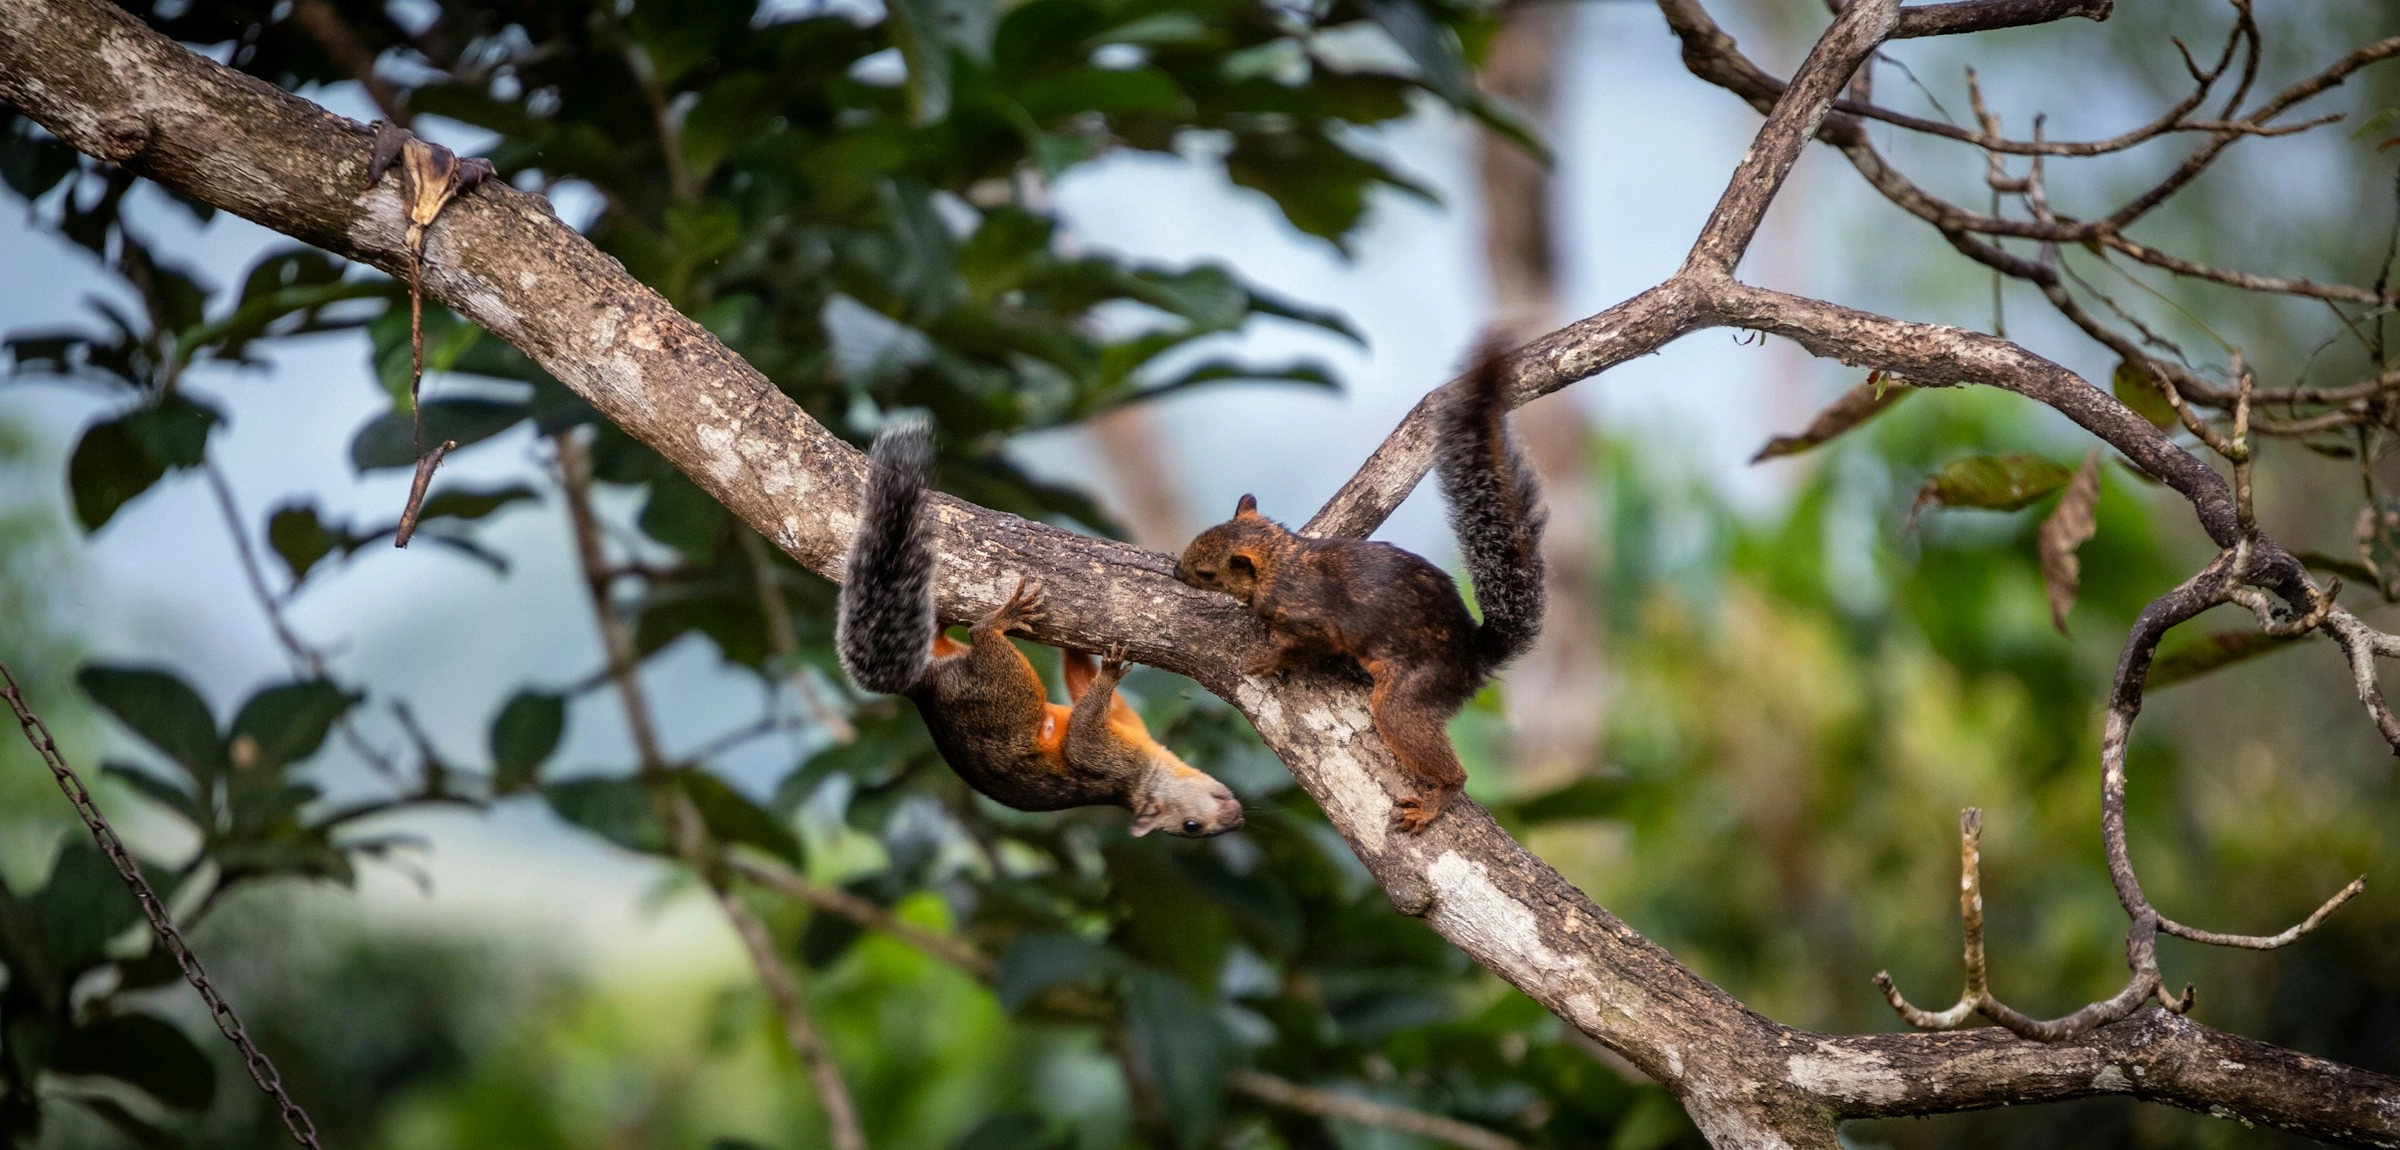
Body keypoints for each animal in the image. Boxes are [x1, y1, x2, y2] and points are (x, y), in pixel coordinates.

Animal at [836, 418, 1245, 839]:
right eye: (1192, 826)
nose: (1237, 818)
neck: (1147, 774)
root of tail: (922, 689)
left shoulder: (1130, 727)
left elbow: (1083, 689)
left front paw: (1091, 659)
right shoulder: (1114, 759)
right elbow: (1081, 738)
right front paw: (1107, 669)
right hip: (1010, 693)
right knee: (980, 636)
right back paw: (996, 621)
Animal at [1175, 350, 1545, 833]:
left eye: (1207, 572)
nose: (1176, 572)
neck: (1281, 561)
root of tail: (1475, 656)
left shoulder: (1311, 620)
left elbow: (1302, 647)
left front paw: (1267, 661)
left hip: (1408, 697)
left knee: (1433, 752)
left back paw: (1435, 799)